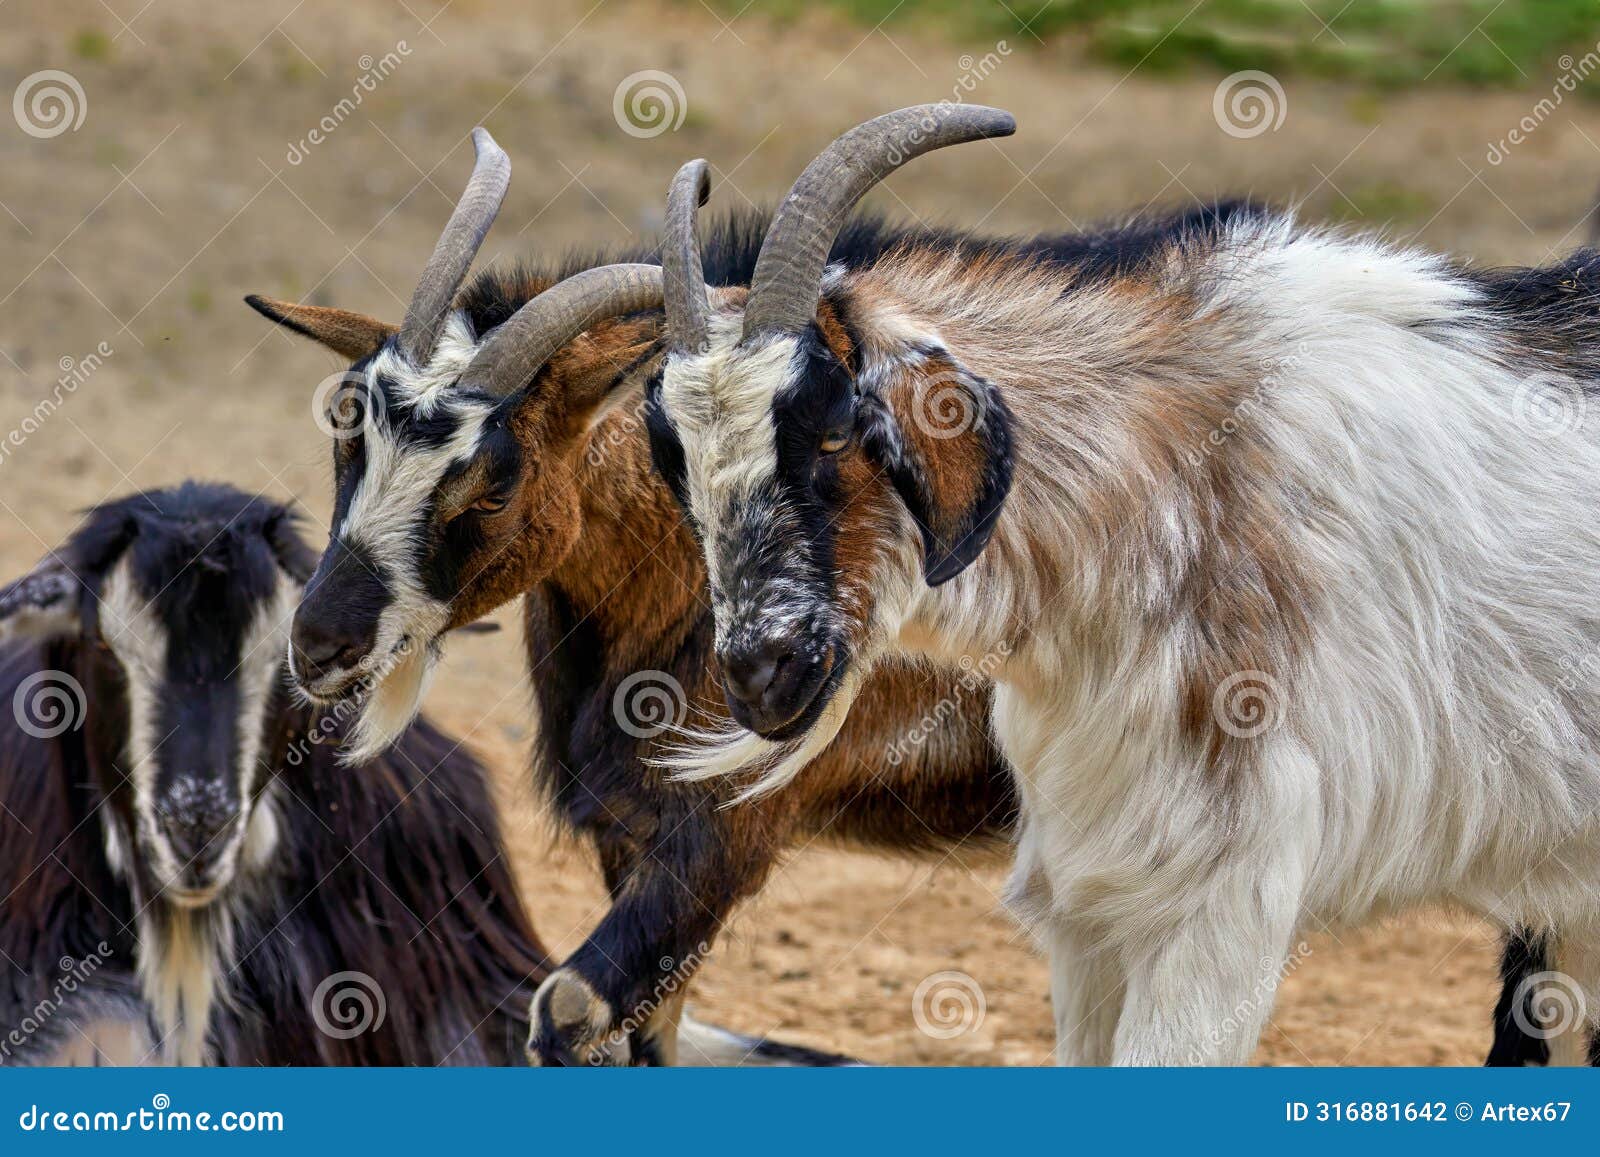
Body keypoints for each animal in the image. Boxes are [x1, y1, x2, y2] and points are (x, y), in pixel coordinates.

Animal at [648, 103, 1600, 1065]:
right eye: (675, 463)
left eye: (837, 425)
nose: (761, 673)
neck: (1189, 470)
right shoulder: (1094, 912)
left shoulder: (1225, 906)